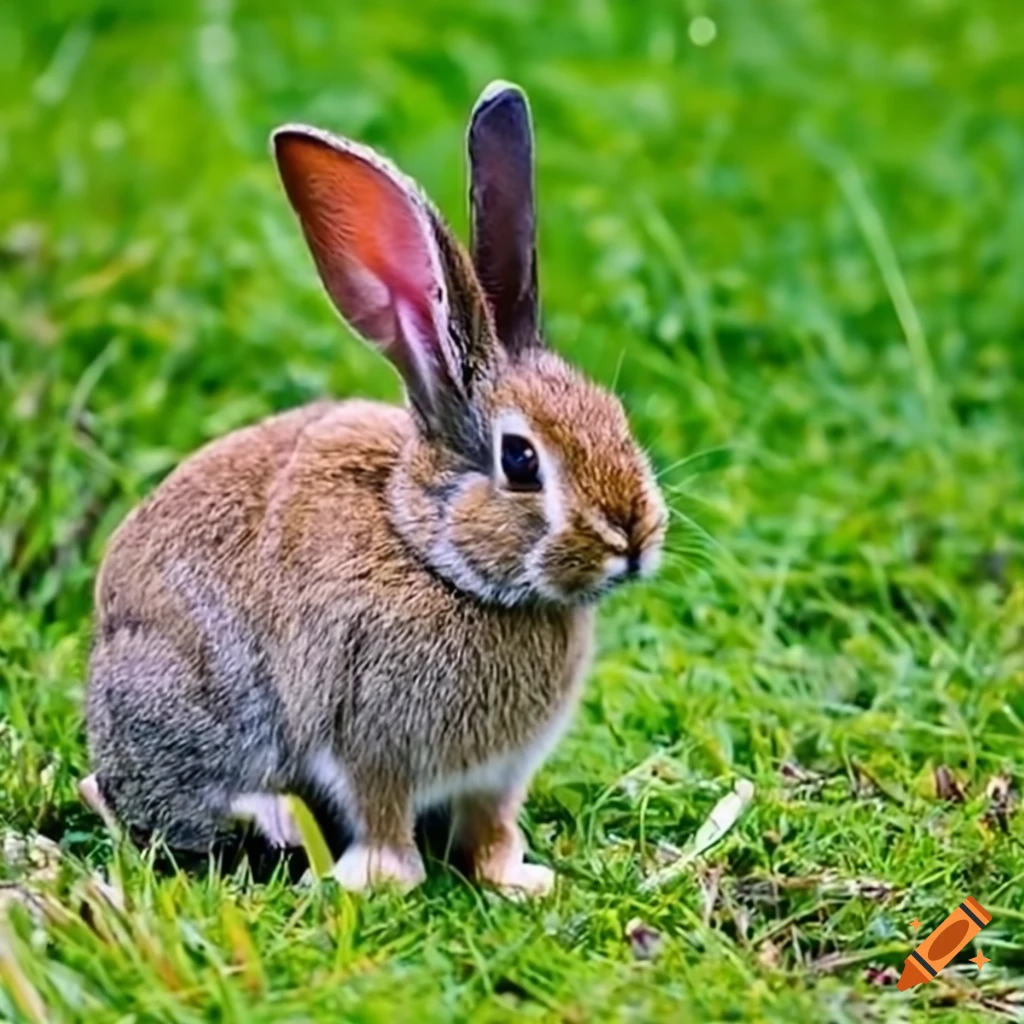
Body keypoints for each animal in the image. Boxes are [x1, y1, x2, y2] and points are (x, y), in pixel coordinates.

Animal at [80, 80, 667, 895]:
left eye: (616, 418)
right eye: (521, 460)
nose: (633, 536)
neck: (437, 558)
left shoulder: (500, 775)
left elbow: (491, 826)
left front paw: (517, 879)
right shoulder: (365, 738)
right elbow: (381, 813)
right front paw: (380, 880)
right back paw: (272, 820)